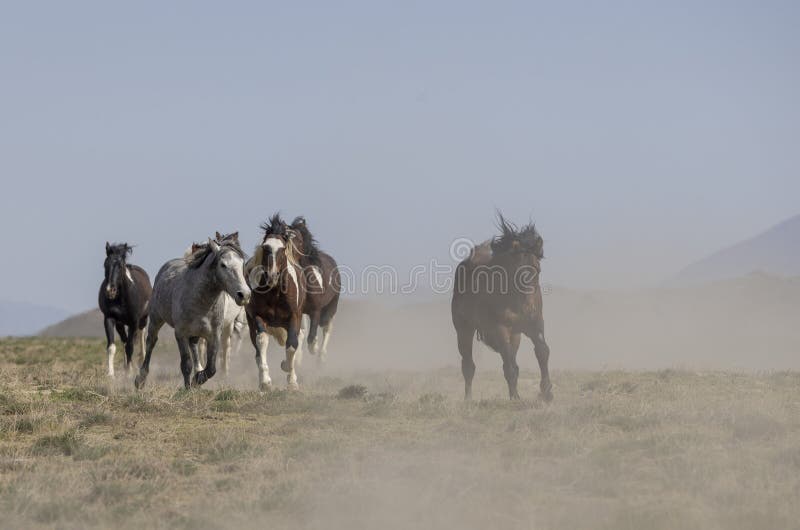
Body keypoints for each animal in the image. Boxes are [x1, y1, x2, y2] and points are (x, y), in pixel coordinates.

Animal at [98, 243, 152, 377]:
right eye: (105, 264)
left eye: (120, 266)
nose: (110, 290)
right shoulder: (109, 318)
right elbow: (112, 347)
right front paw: (111, 374)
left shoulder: (134, 322)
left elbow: (130, 346)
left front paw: (129, 373)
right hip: (120, 324)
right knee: (124, 340)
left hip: (143, 320)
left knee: (141, 336)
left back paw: (140, 362)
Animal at [244, 214, 307, 390]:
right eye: (266, 247)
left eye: (282, 249)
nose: (272, 276)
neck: (275, 294)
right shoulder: (258, 317)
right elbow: (261, 342)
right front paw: (265, 382)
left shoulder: (294, 317)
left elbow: (292, 345)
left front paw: (291, 381)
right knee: (257, 350)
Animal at [289, 216, 340, 363]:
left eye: (298, 239)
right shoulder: (298, 311)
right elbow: (301, 333)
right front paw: (296, 359)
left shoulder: (316, 310)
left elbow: (312, 337)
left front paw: (315, 348)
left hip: (332, 305)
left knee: (327, 327)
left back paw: (321, 357)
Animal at [451, 213, 552, 401]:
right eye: (518, 273)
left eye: (537, 270)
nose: (530, 309)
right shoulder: (500, 328)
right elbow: (510, 367)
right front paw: (516, 399)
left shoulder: (534, 324)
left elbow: (542, 351)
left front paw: (547, 391)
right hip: (464, 329)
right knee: (468, 366)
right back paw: (468, 399)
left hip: (516, 335)